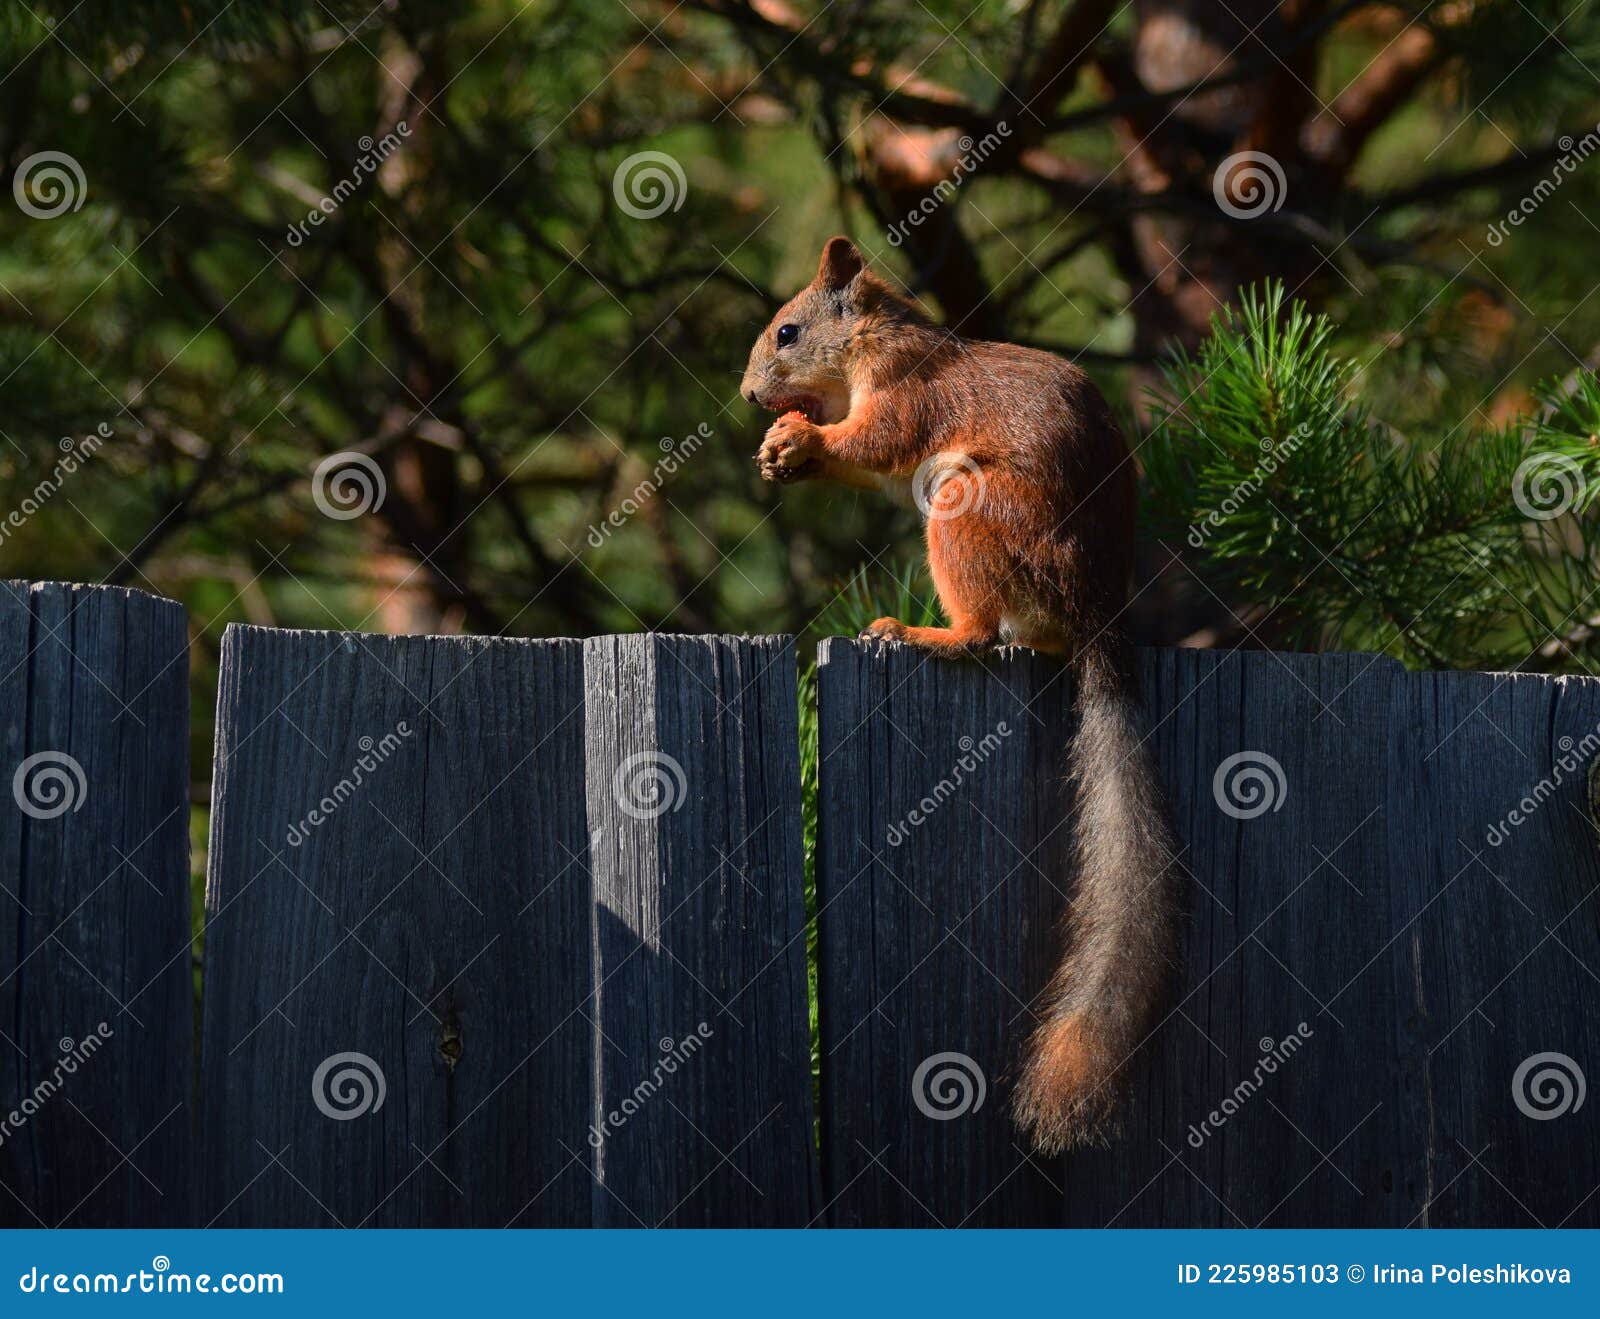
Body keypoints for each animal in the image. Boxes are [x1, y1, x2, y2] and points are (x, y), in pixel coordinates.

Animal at [740, 236, 1182, 1153]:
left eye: (788, 331)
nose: (750, 395)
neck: (879, 339)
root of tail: (1095, 611)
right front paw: (780, 446)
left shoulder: (907, 391)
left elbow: (875, 443)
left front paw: (800, 438)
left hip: (966, 512)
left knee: (978, 632)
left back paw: (923, 633)